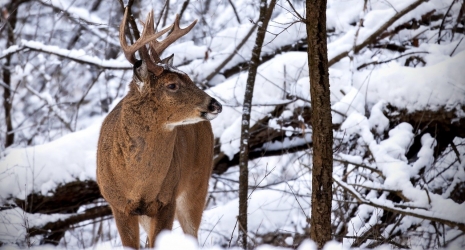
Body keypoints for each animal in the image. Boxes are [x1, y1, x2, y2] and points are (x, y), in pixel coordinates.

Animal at [96, 7, 221, 248]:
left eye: (189, 77)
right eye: (172, 85)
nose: (215, 104)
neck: (138, 183)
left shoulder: (166, 201)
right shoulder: (118, 205)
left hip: (198, 182)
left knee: (192, 233)